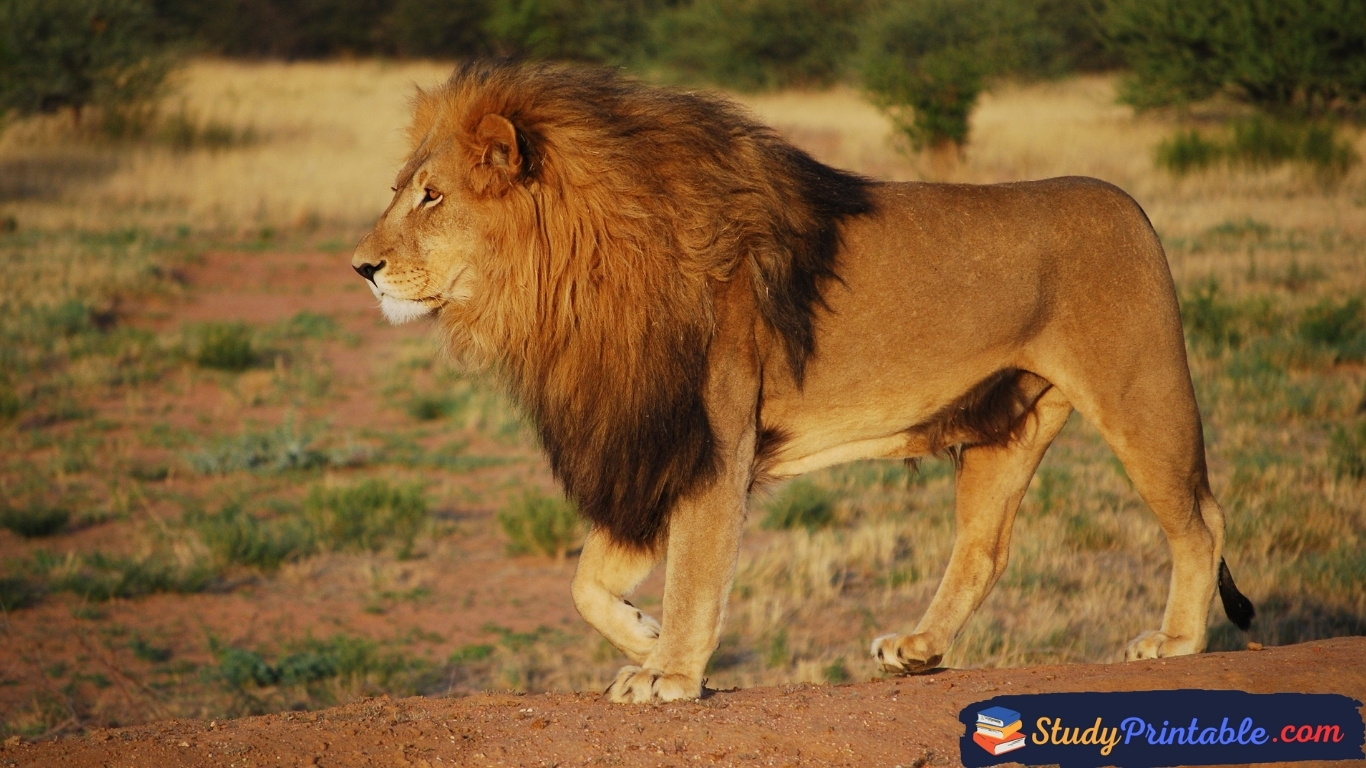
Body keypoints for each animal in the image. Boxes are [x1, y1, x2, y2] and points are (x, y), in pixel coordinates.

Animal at [352, 60, 1255, 704]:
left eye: (432, 197)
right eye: (400, 192)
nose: (360, 267)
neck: (569, 282)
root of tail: (1131, 204)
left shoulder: (710, 438)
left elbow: (695, 569)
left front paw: (671, 674)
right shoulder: (653, 439)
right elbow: (586, 580)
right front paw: (646, 637)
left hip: (1141, 393)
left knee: (1201, 519)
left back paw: (1174, 642)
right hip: (1008, 425)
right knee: (983, 550)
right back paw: (918, 651)